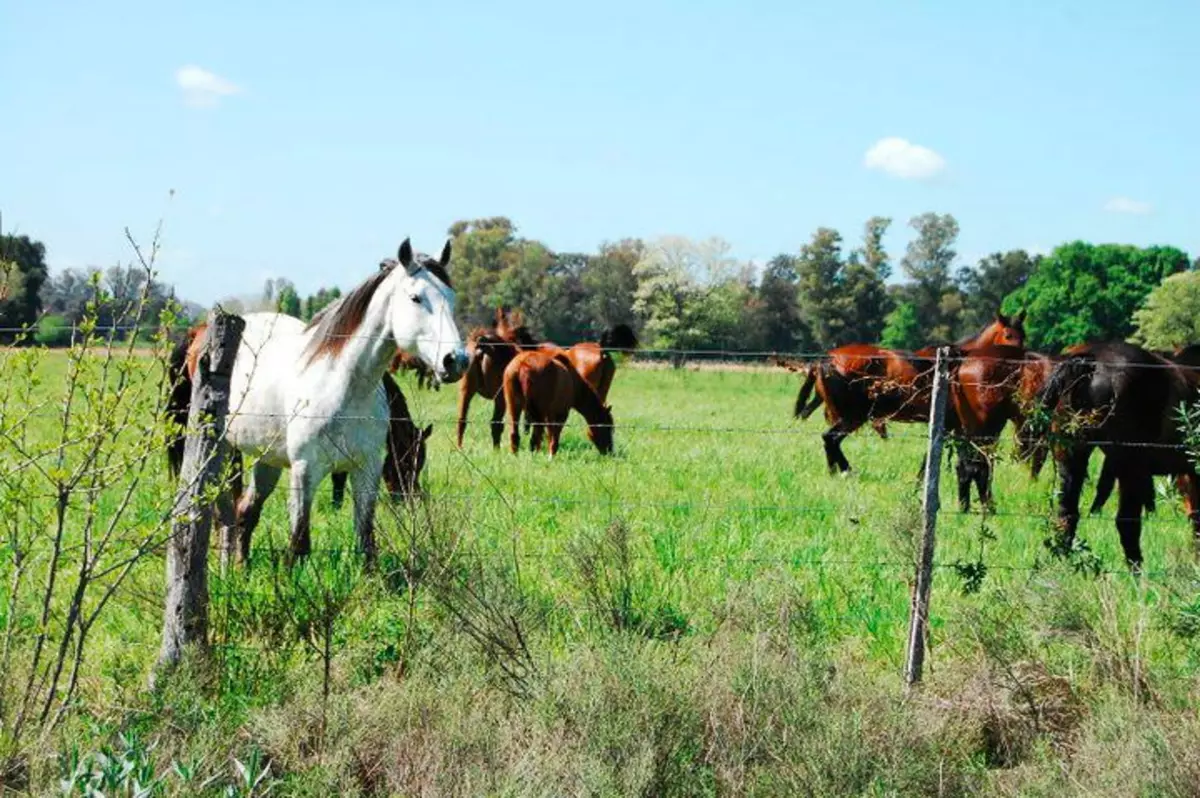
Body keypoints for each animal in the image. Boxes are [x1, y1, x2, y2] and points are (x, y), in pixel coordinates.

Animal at [169, 237, 468, 566]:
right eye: (416, 298)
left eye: (451, 298)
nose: (456, 360)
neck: (344, 386)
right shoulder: (305, 470)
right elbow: (300, 543)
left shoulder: (367, 468)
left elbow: (366, 541)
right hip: (223, 450)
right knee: (223, 511)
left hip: (266, 458)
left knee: (246, 510)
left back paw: (242, 567)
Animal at [792, 312, 1027, 472]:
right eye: (1008, 335)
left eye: (1022, 335)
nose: (1023, 360)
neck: (960, 364)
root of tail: (828, 359)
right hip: (854, 416)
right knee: (830, 438)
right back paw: (846, 471)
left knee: (830, 441)